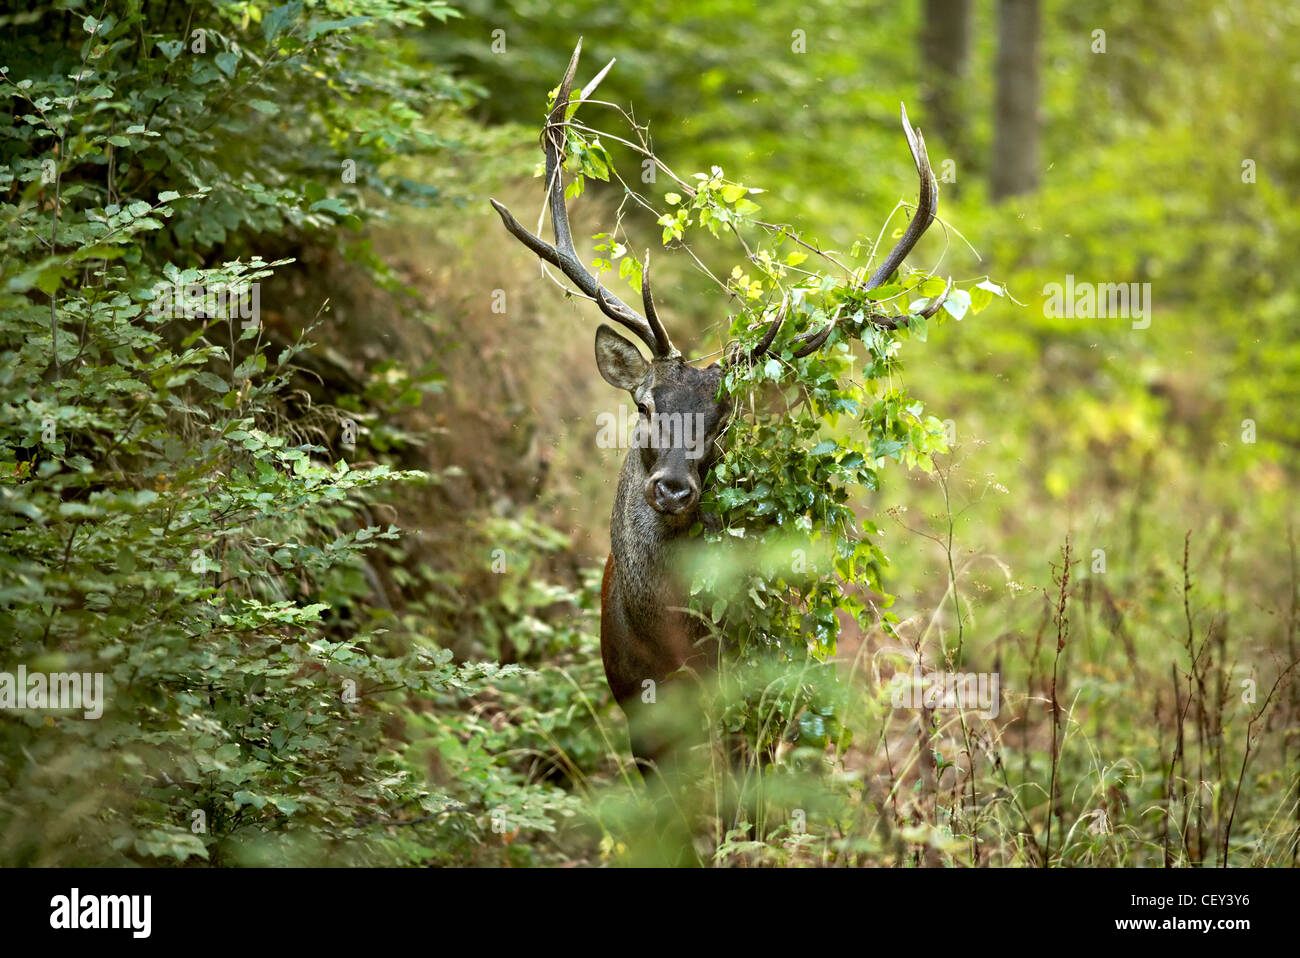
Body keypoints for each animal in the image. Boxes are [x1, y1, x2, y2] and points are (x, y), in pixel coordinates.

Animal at [490, 40, 945, 778]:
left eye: (725, 416)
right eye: (645, 404)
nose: (673, 487)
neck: (675, 644)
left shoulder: (745, 692)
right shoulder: (634, 700)